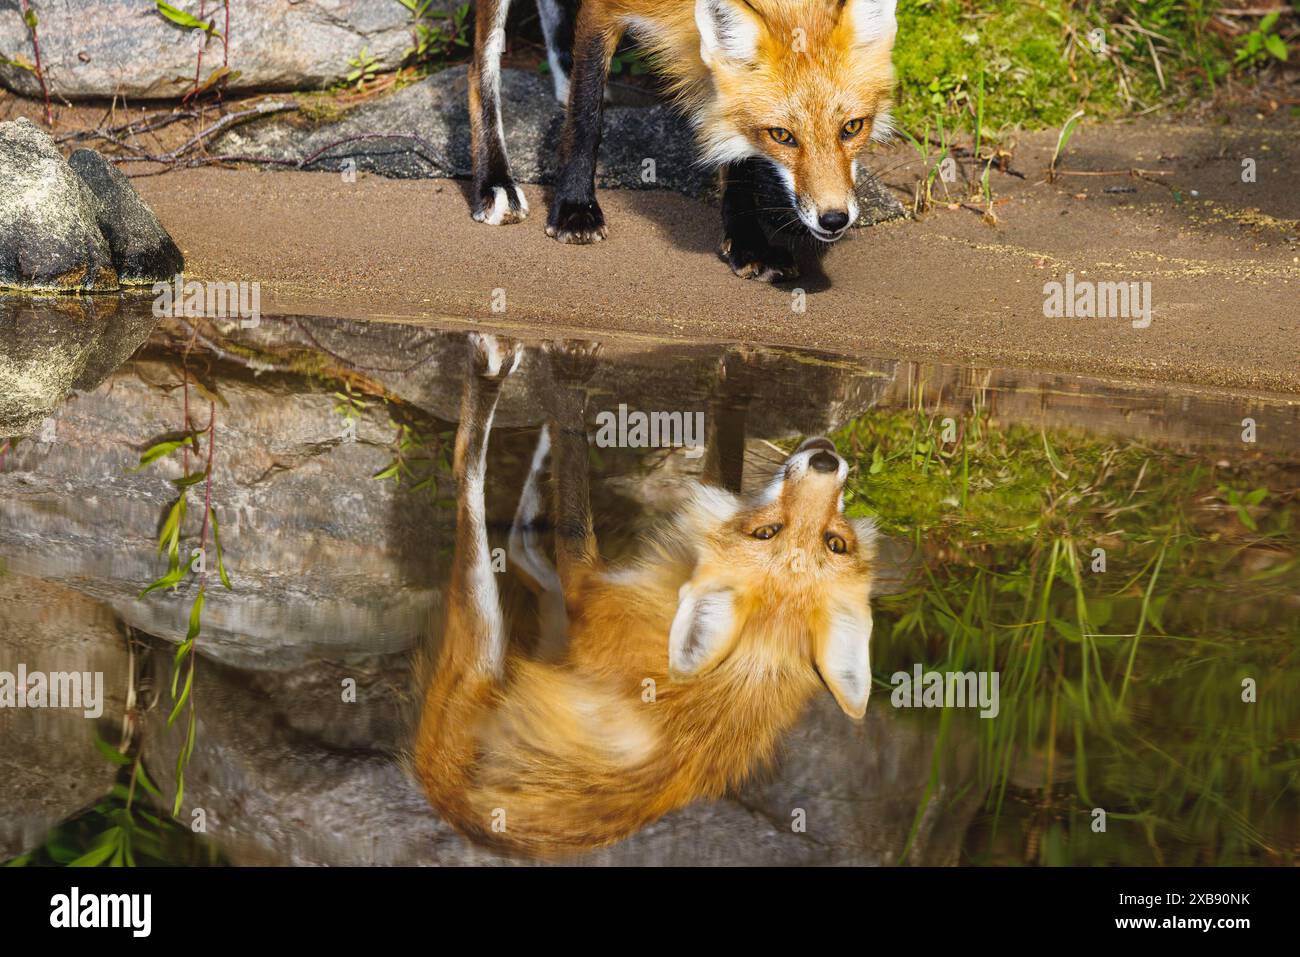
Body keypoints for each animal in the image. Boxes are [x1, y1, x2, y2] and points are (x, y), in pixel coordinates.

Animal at [413, 333, 878, 857]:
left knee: (466, 470)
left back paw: (489, 374)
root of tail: (446, 804)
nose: (826, 461)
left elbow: (574, 508)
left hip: (480, 648)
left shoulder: (590, 593)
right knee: (519, 542)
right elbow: (722, 462)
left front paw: (570, 384)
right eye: (835, 542)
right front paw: (738, 382)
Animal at [467, 0, 897, 281]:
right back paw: (496, 182)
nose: (834, 218)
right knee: (478, 66)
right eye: (782, 136)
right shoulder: (603, 9)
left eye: (852, 128)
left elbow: (735, 148)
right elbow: (587, 116)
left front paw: (748, 242)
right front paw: (574, 208)